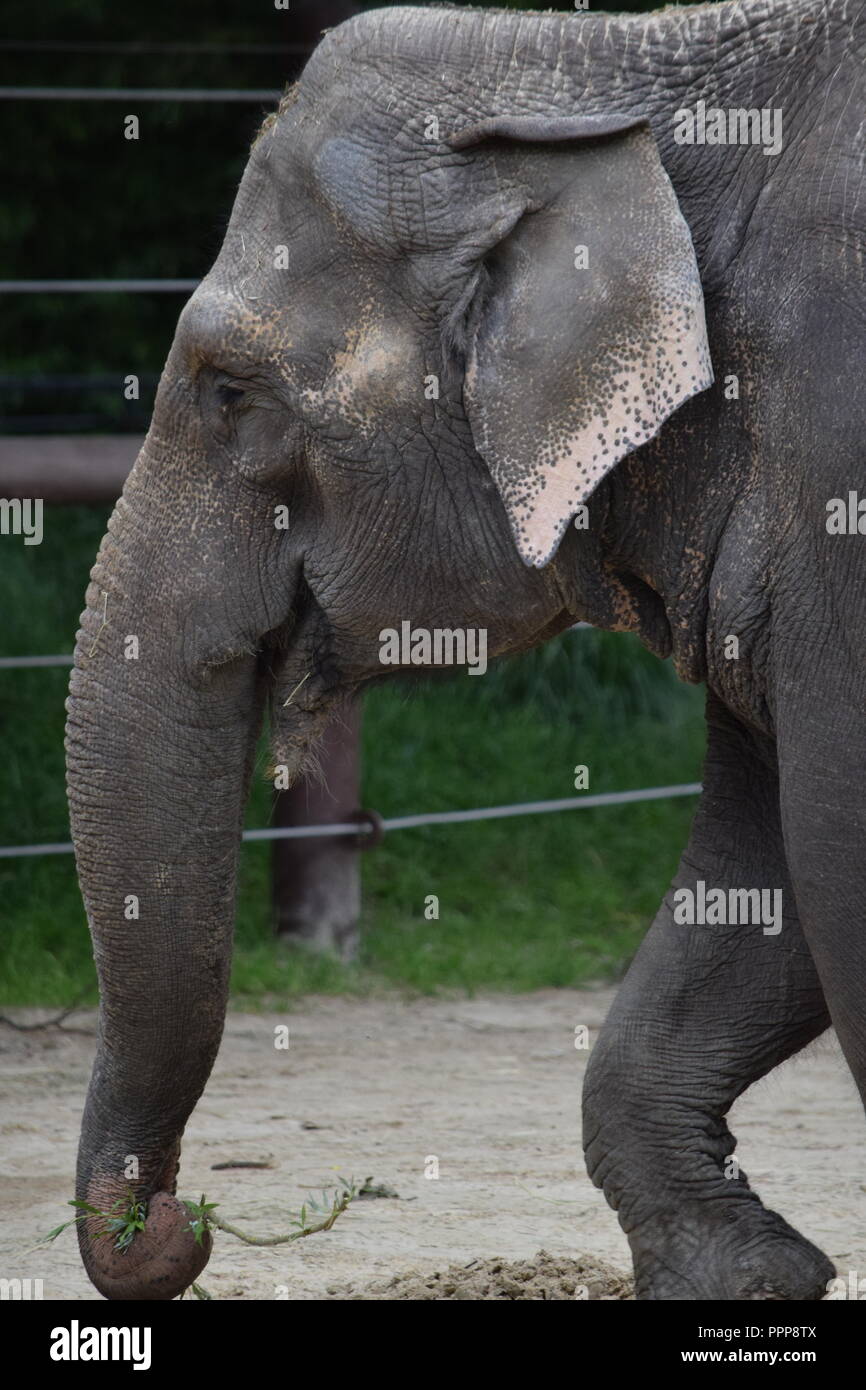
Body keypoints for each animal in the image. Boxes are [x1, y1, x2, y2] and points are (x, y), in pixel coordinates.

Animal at [65, 0, 865, 1300]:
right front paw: (749, 1274)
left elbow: (834, 862)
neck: (604, 70)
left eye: (229, 391)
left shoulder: (839, 478)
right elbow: (768, 863)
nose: (184, 1228)